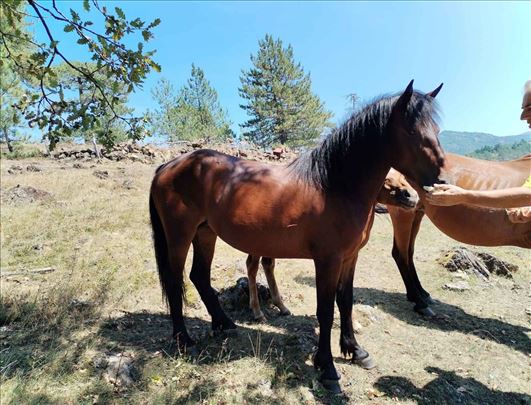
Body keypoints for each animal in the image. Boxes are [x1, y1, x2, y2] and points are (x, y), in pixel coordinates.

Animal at [246, 167, 420, 322]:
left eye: (401, 175)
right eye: (385, 179)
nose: (412, 196)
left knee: (267, 264)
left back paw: (281, 307)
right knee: (252, 267)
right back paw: (257, 312)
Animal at [386, 153, 531, 314]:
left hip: (416, 213)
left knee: (408, 253)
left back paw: (422, 294)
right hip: (403, 213)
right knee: (401, 255)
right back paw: (419, 302)